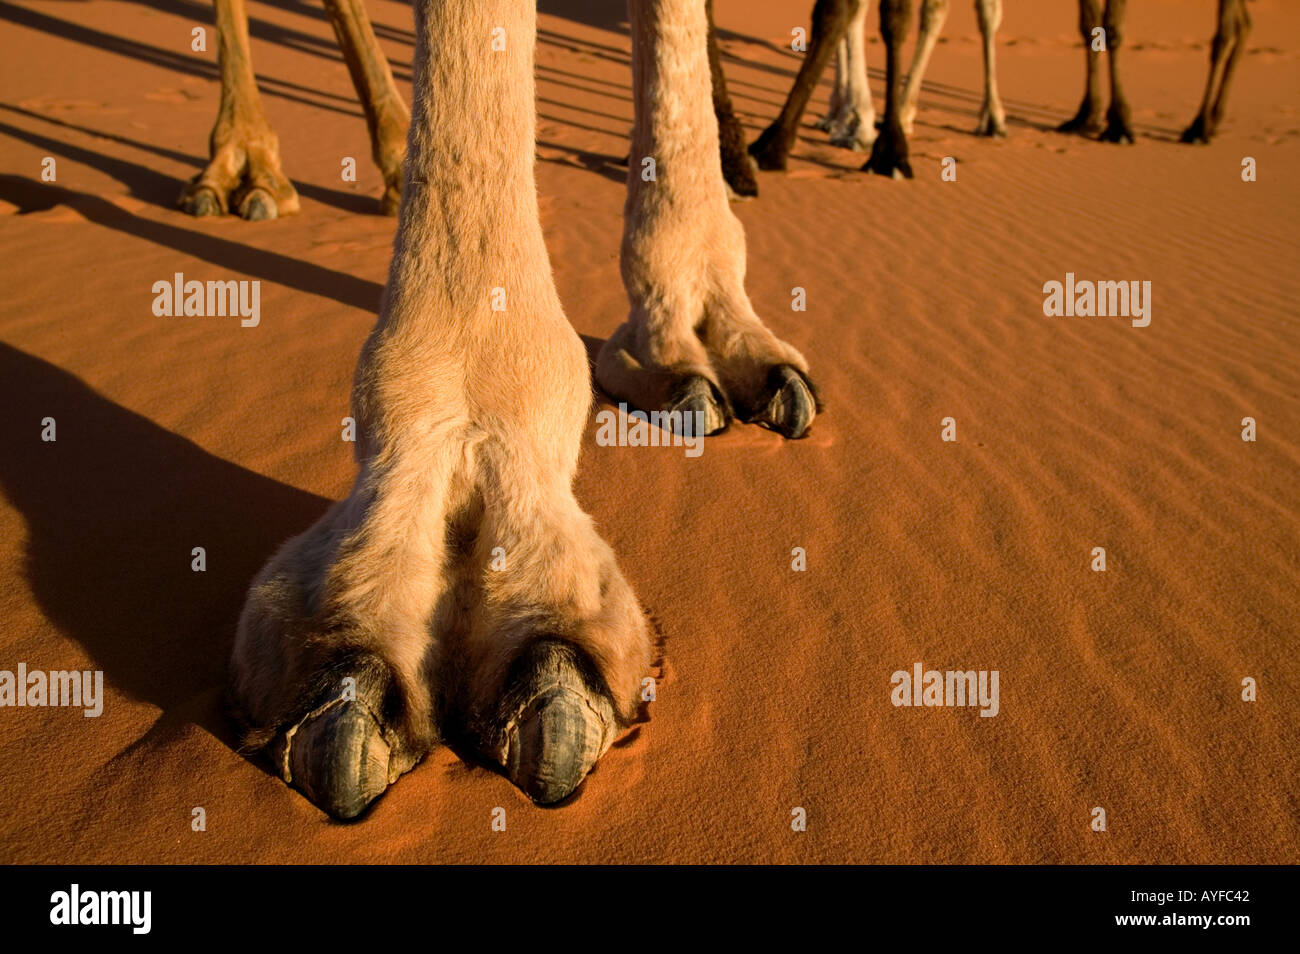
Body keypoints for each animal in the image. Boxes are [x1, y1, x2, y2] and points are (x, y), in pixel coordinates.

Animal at [749, 0, 1006, 179]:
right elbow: (835, 11)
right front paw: (772, 147)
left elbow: (895, 17)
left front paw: (891, 151)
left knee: (984, 11)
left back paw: (992, 117)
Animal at [1058, 0, 1251, 144]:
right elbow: (1089, 25)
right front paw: (1085, 116)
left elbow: (1112, 28)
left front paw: (1119, 125)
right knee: (1245, 25)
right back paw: (1213, 120)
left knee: (1224, 35)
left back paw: (1199, 127)